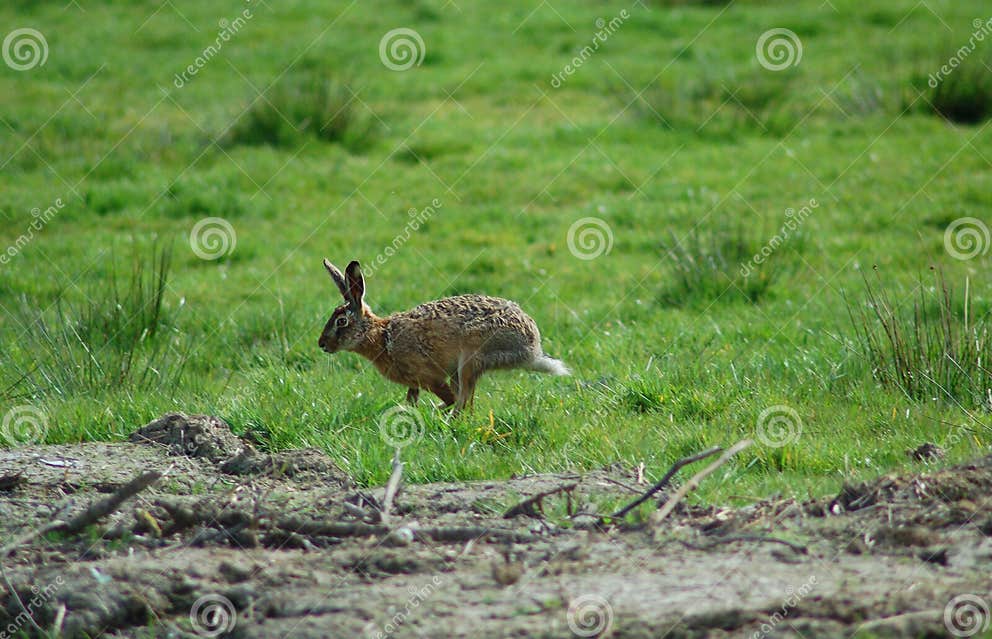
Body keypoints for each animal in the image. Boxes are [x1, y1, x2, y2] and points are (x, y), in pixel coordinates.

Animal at [319, 259, 569, 414]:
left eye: (341, 322)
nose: (321, 344)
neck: (382, 336)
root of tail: (532, 347)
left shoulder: (431, 377)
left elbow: (448, 398)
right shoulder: (414, 383)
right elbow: (412, 399)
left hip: (470, 358)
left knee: (463, 402)